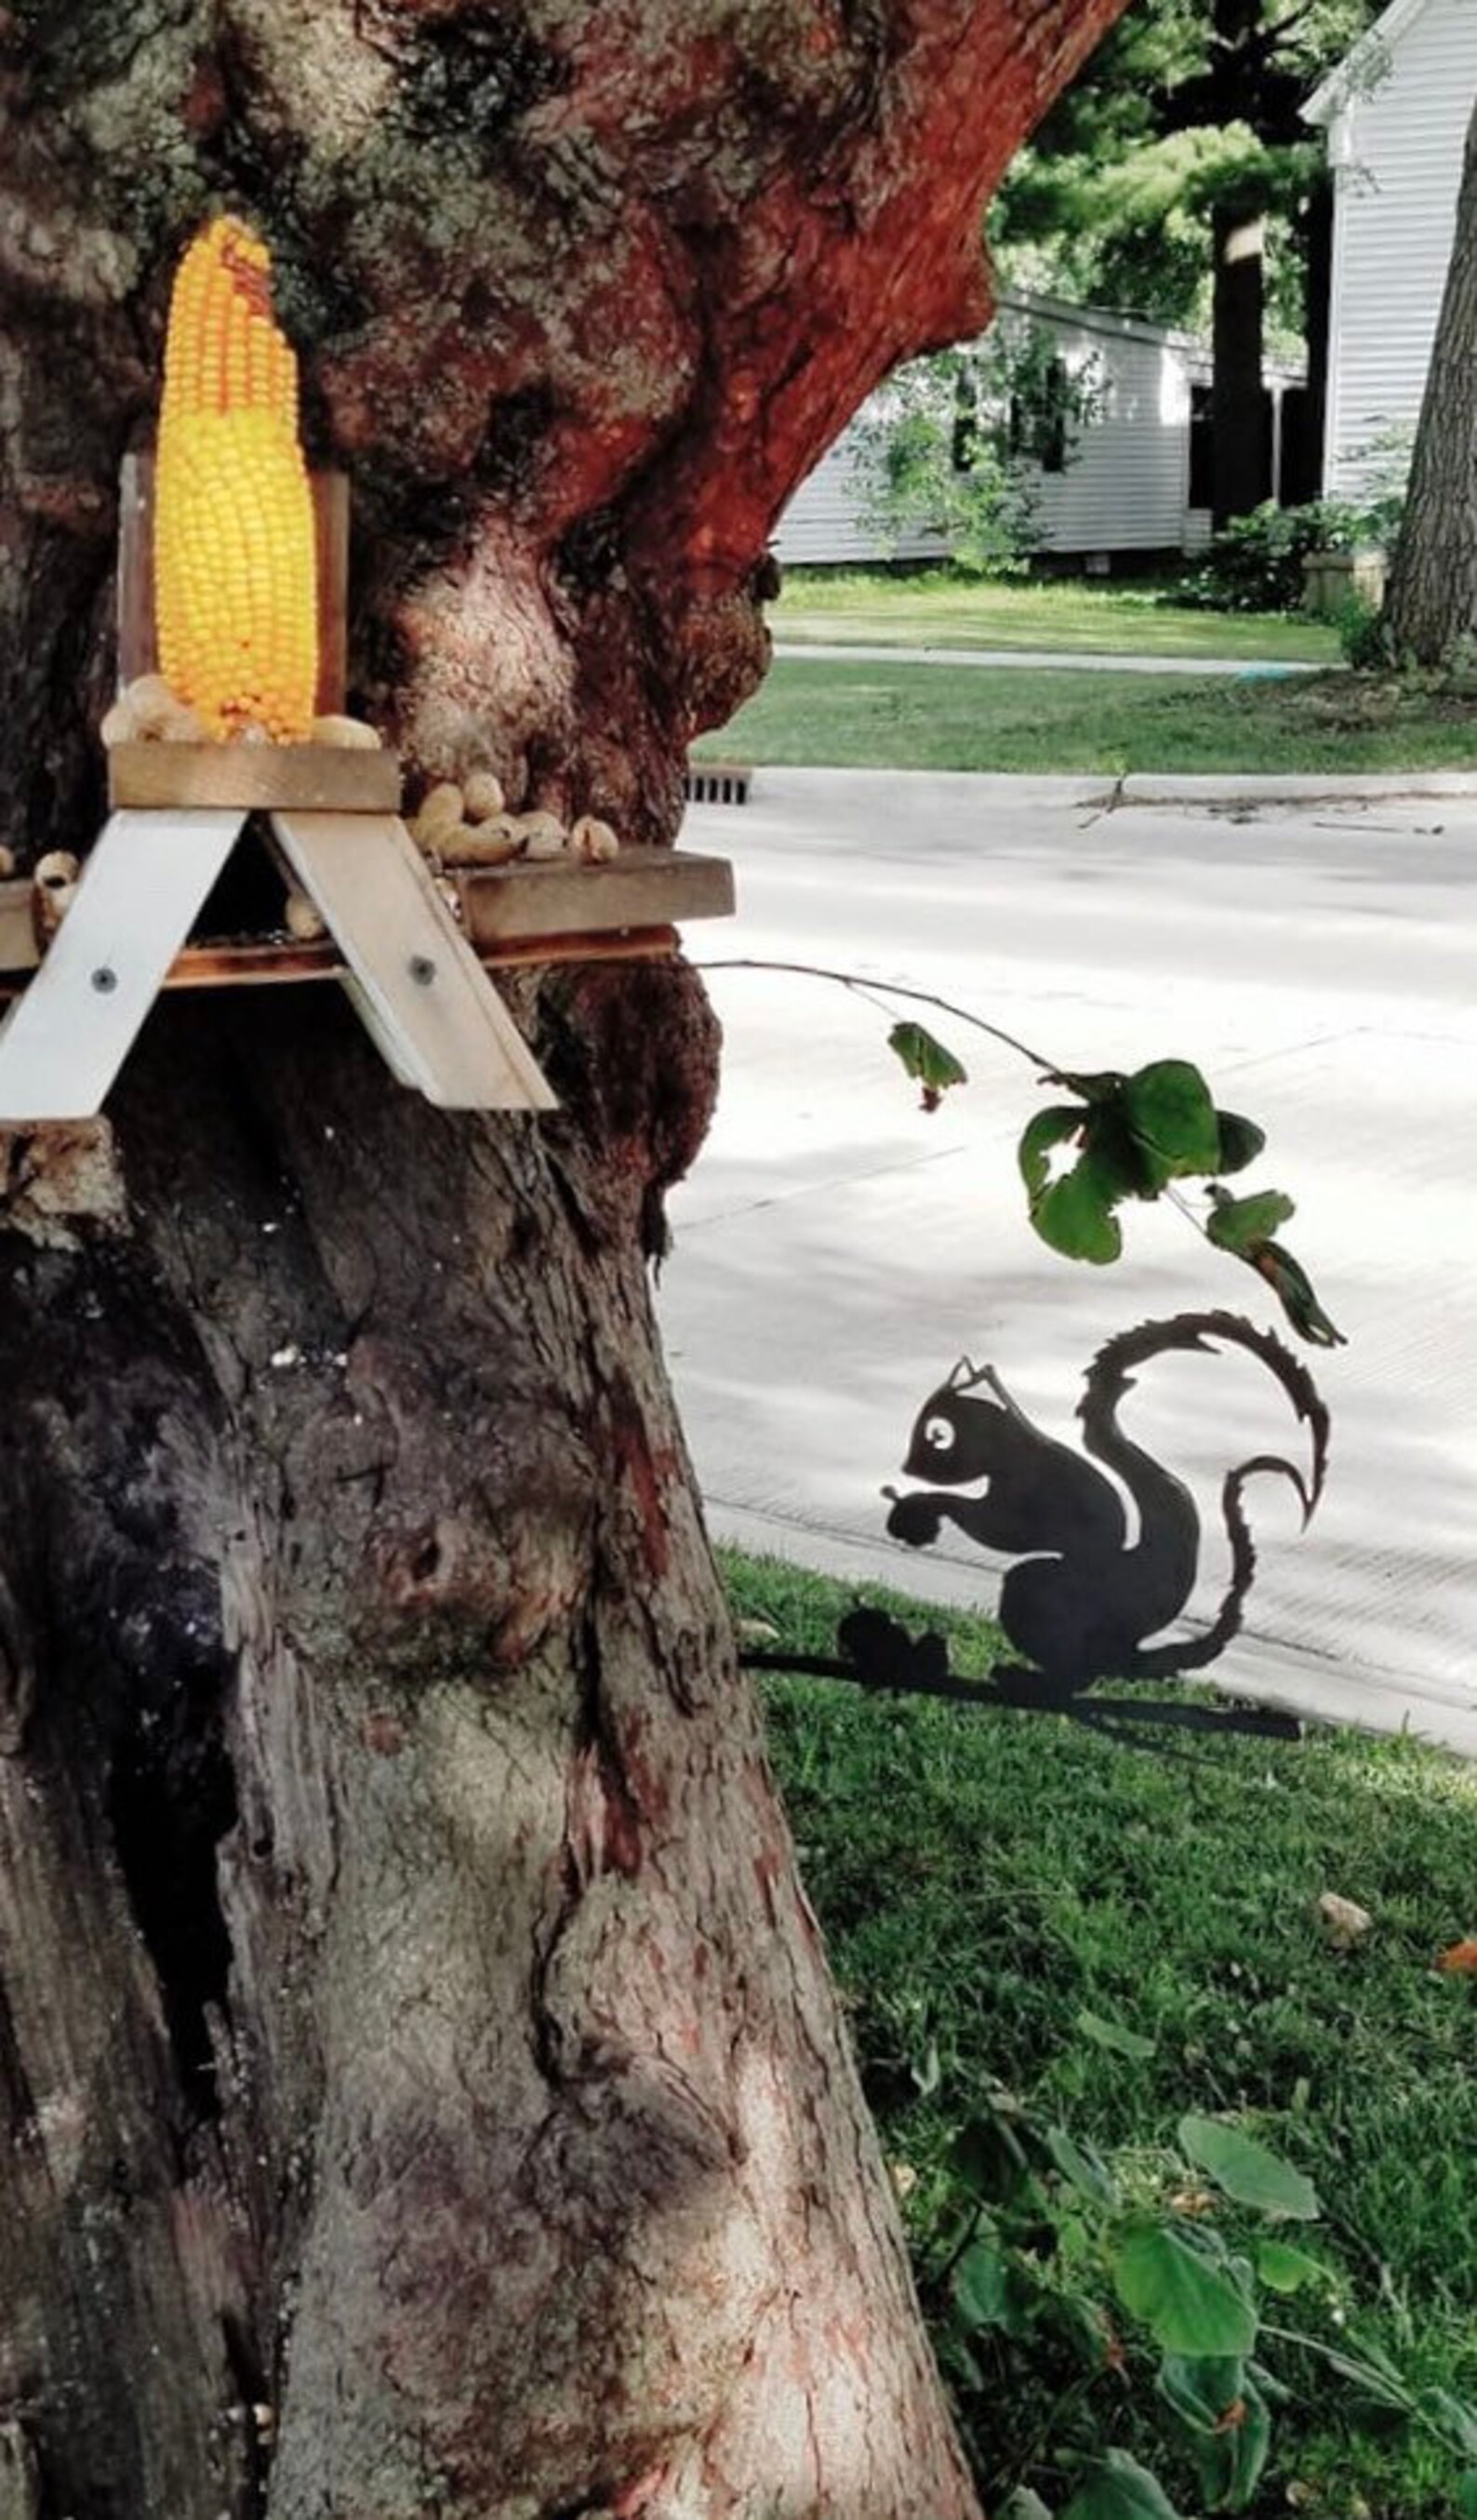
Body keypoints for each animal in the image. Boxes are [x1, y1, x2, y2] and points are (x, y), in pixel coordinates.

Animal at [882, 1310, 1329, 1700]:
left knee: (1058, 1640)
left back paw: (1034, 1681)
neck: (1005, 1445)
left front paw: (924, 1506)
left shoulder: (1028, 1488)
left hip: (1053, 1592)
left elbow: (1001, 1528)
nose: (906, 1466)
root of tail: (1124, 1650)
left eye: (934, 1440)